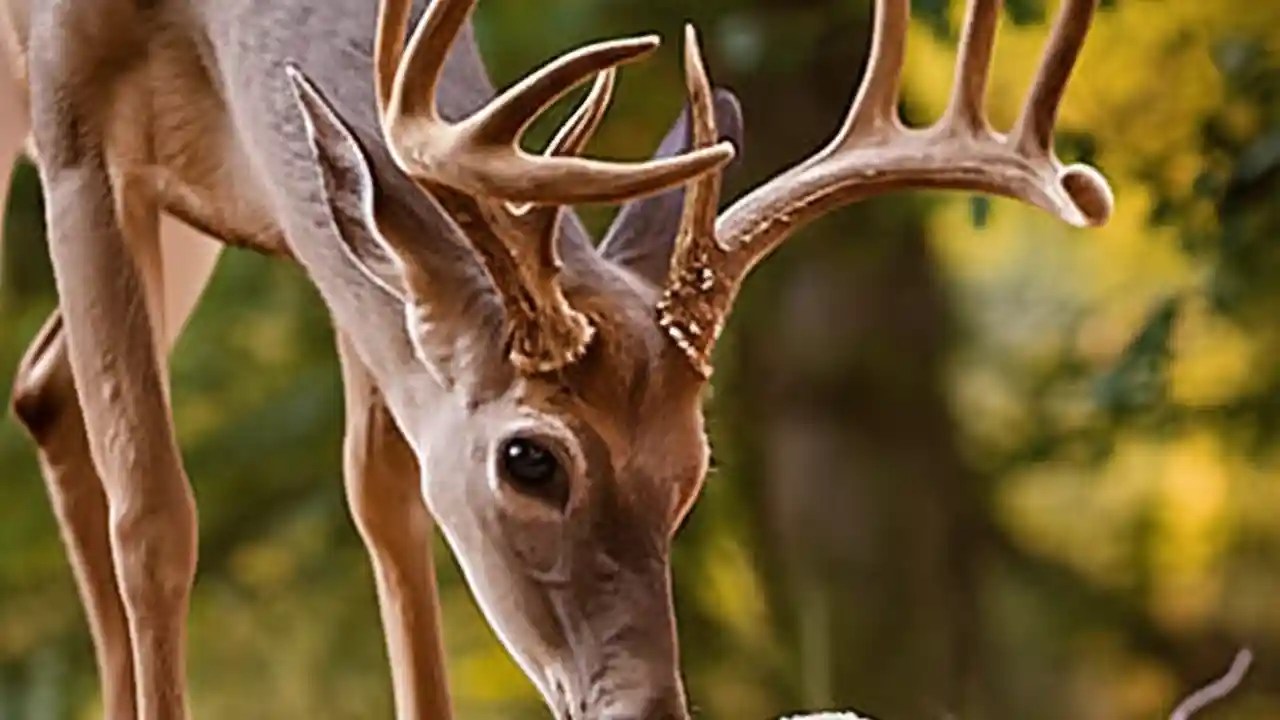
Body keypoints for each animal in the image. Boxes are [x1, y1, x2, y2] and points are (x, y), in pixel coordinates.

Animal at [0, 0, 1113, 717]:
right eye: (529, 458)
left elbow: (387, 505)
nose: (648, 712)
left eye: (693, 470)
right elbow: (154, 515)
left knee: (45, 386)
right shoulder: (73, 130)